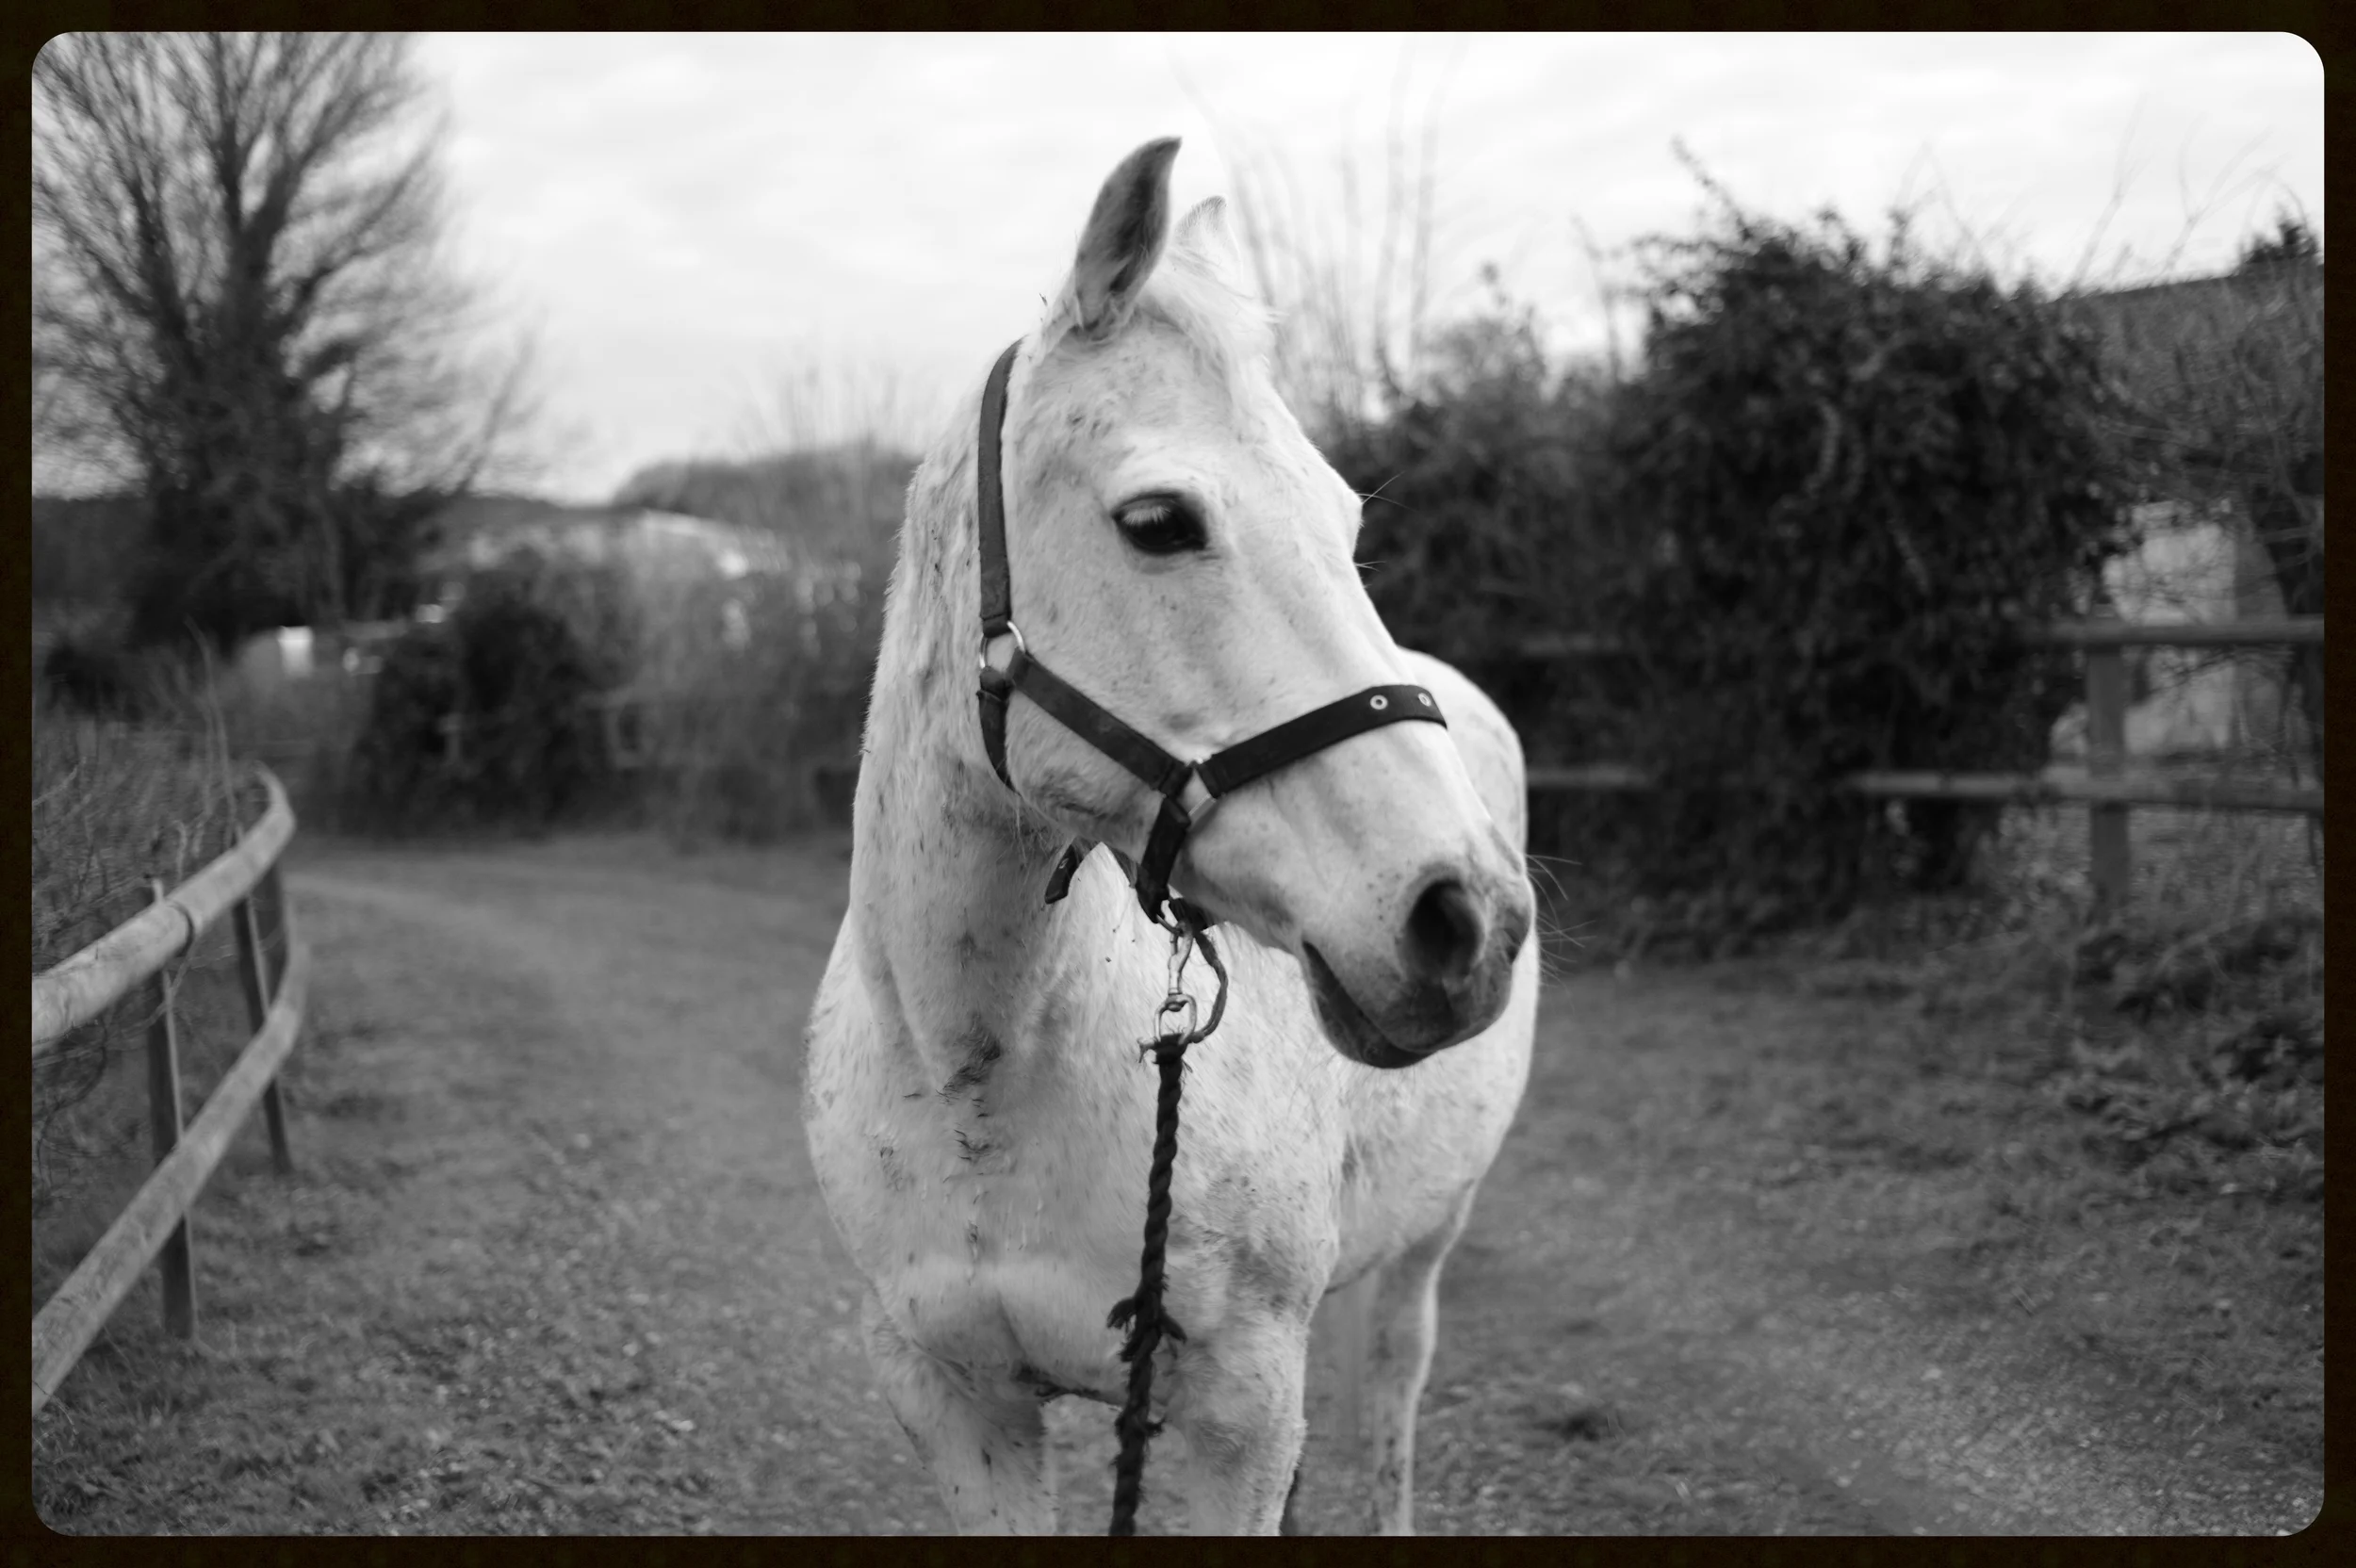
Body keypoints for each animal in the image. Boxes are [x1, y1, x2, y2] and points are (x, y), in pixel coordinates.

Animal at [802, 136, 1538, 1536]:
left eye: (1347, 522)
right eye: (1158, 522)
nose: (1466, 916)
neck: (980, 1073)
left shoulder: (1234, 1411)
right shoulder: (956, 1402)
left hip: (1424, 1249)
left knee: (1393, 1408)